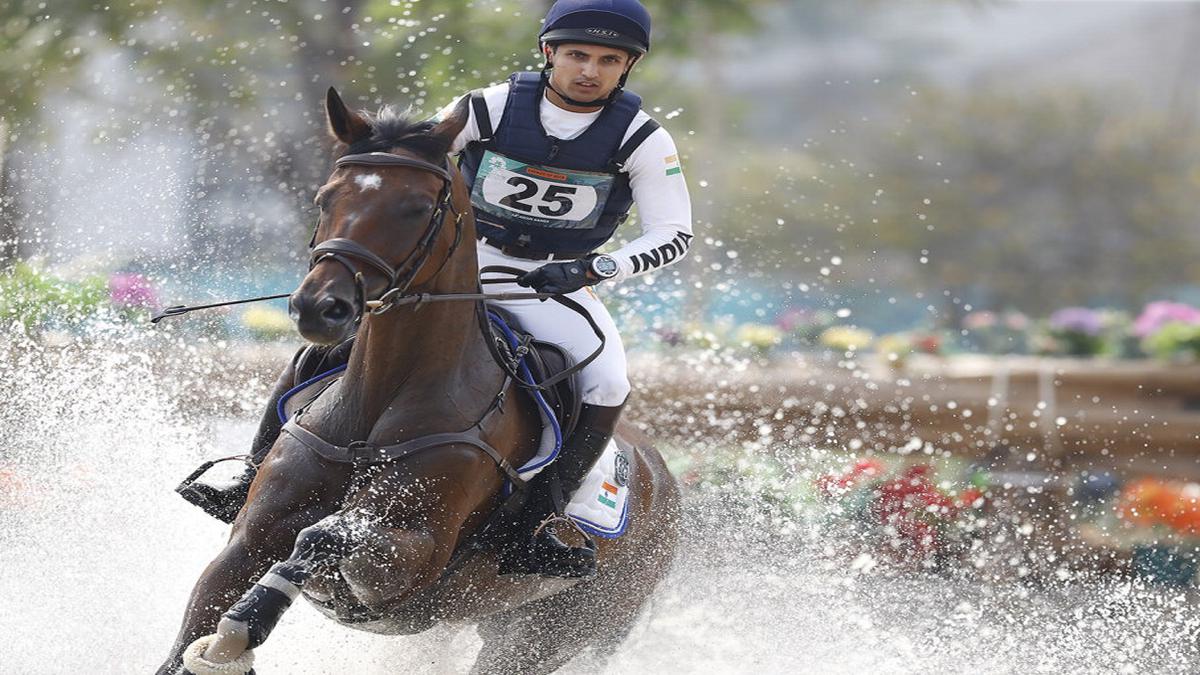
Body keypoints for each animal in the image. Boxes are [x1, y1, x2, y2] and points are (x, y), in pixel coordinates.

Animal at [158, 89, 681, 672]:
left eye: (414, 208)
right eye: (324, 198)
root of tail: (665, 478)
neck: (379, 401)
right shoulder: (247, 543)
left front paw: (238, 632)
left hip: (549, 635)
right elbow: (191, 630)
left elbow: (322, 537)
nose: (320, 308)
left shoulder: (410, 559)